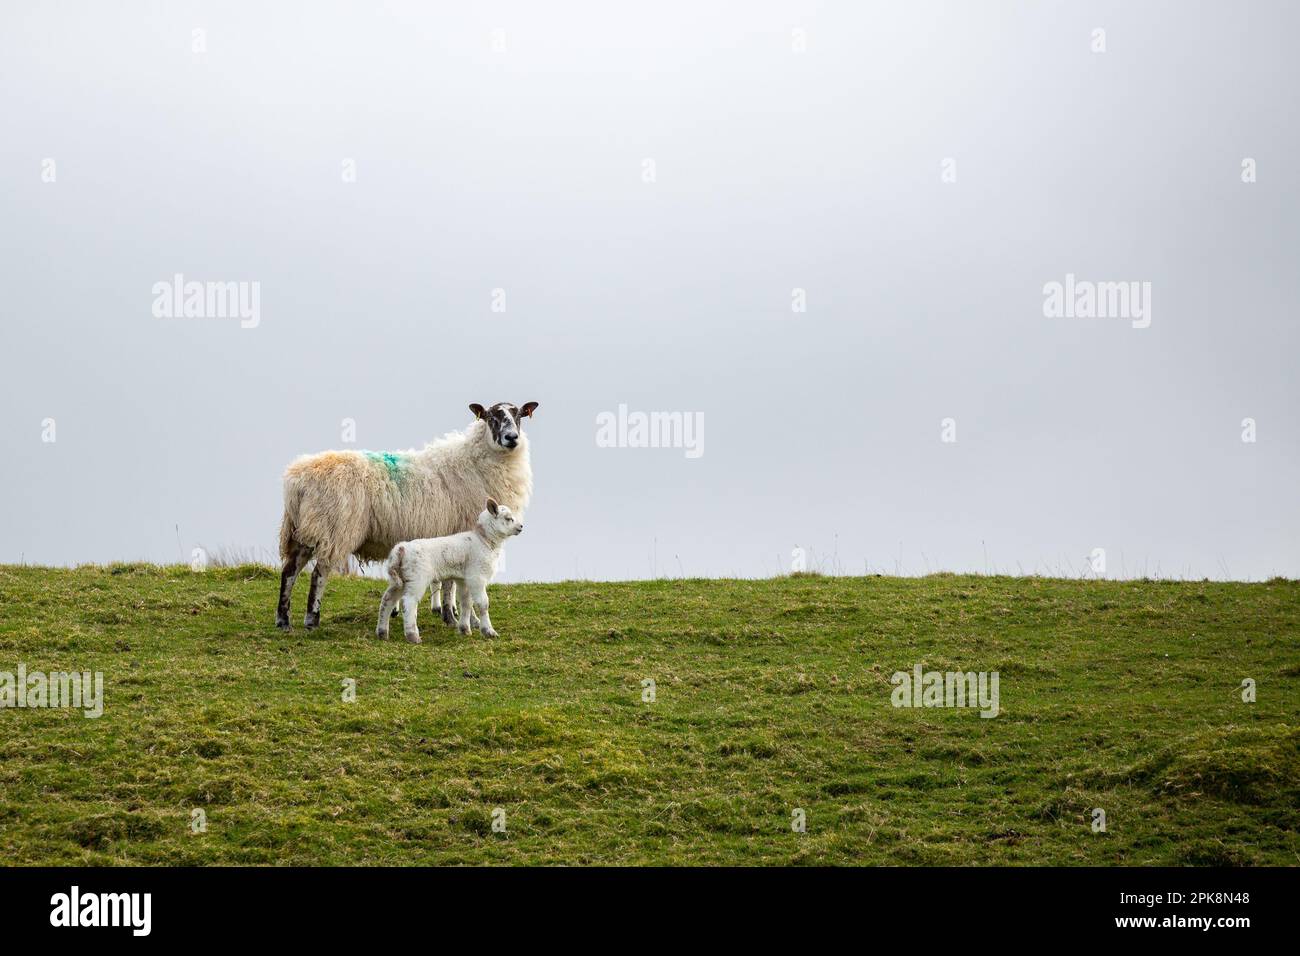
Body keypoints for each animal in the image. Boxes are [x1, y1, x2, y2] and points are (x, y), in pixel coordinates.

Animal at [377, 497, 523, 643]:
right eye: (508, 518)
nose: (521, 527)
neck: (484, 540)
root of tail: (401, 549)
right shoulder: (477, 577)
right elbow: (483, 603)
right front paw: (488, 631)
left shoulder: (464, 579)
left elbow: (466, 602)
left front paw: (464, 629)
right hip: (417, 578)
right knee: (409, 602)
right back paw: (413, 636)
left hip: (400, 578)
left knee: (387, 599)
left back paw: (382, 632)